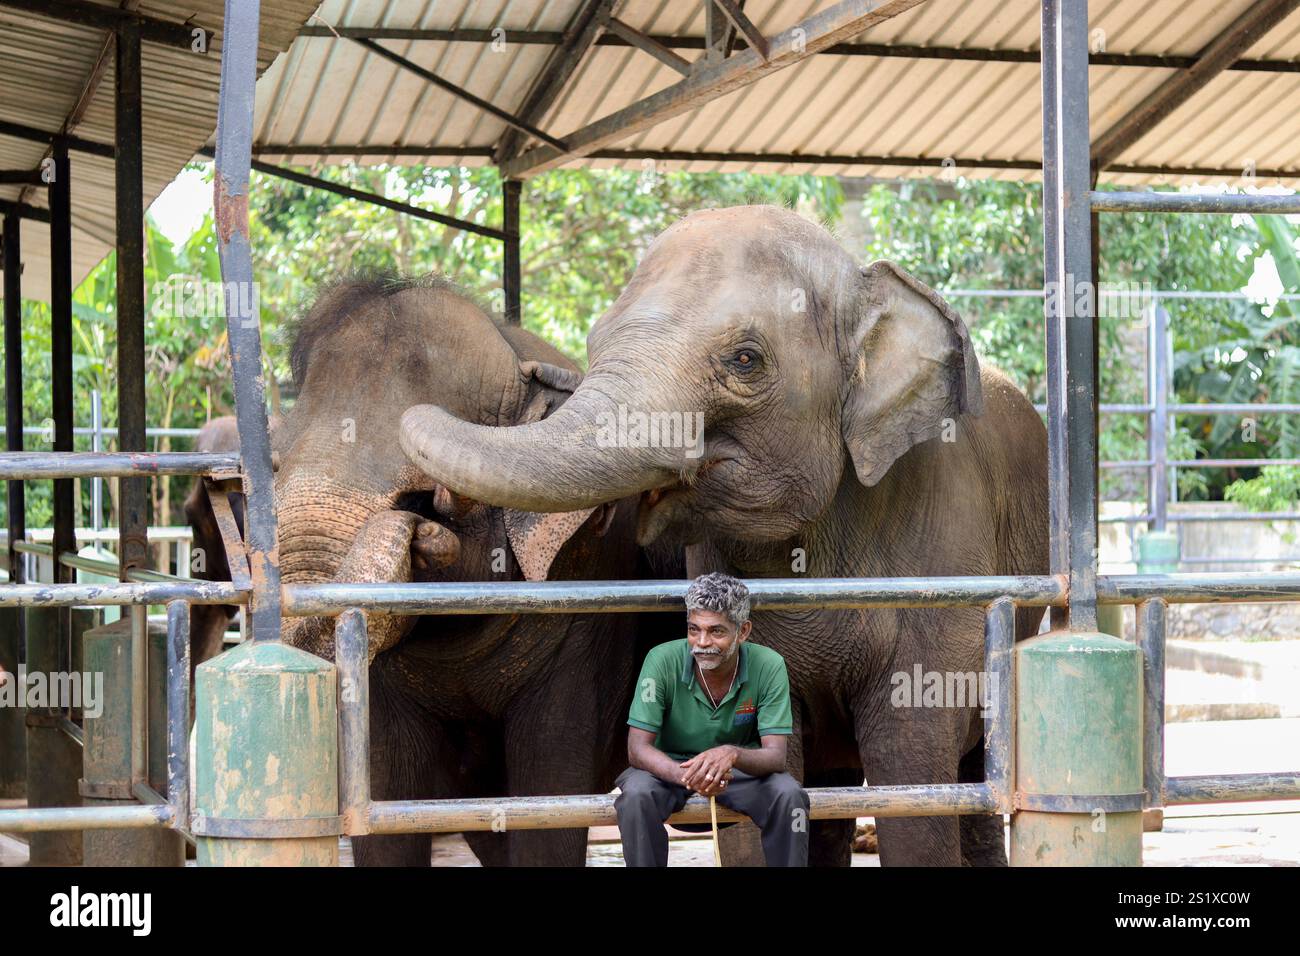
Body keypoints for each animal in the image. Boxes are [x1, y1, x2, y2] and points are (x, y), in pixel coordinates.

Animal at [270, 276, 681, 866]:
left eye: (432, 496)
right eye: (272, 465)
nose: (414, 534)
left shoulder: (589, 602)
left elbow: (550, 792)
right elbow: (391, 796)